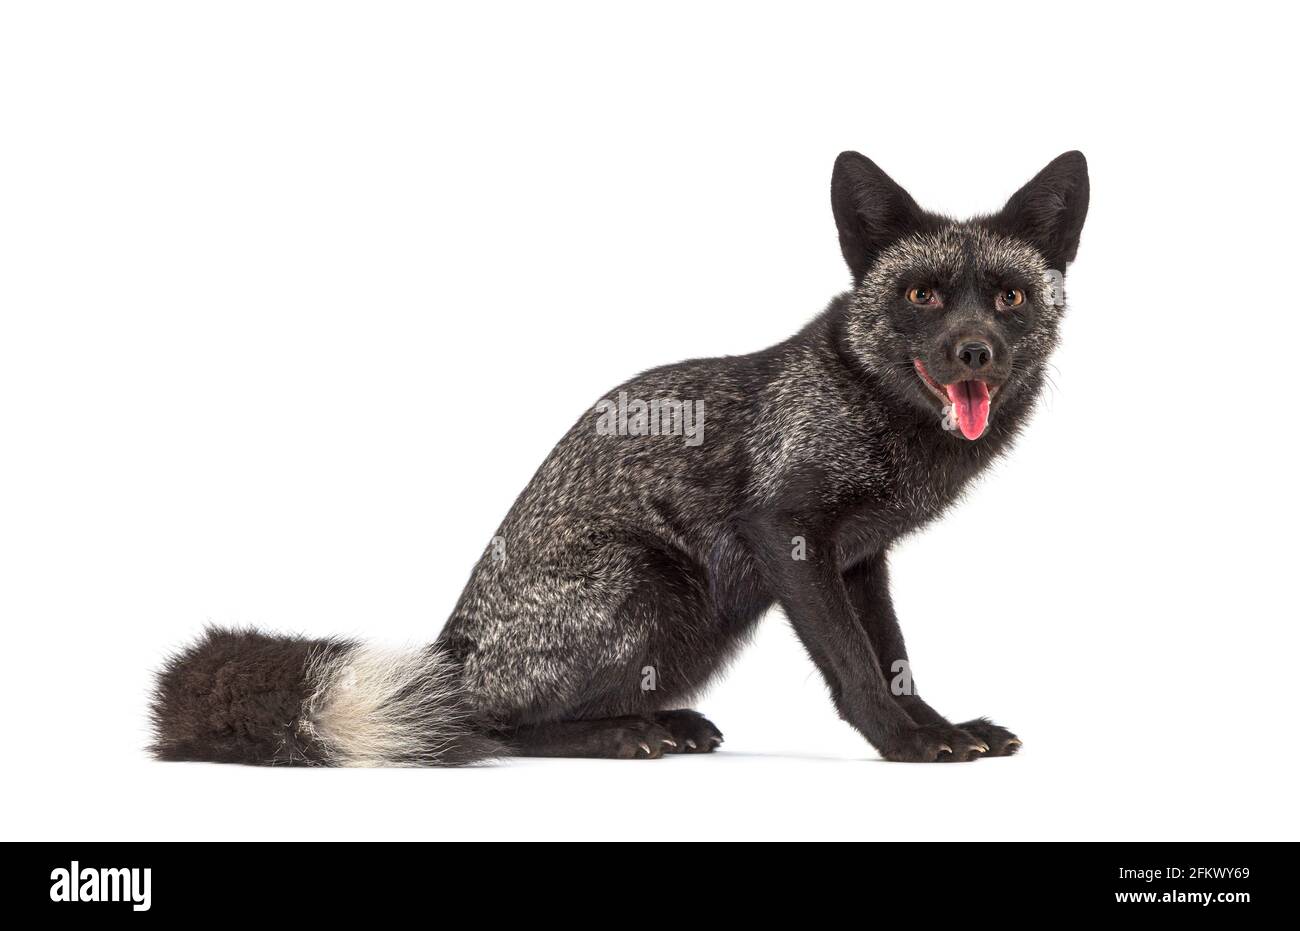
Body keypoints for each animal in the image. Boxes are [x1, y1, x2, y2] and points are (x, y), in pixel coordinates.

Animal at [151, 151, 1089, 765]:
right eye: (922, 294)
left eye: (1008, 297)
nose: (973, 352)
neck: (869, 400)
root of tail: (450, 650)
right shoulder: (787, 530)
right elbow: (856, 666)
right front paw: (903, 743)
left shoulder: (861, 558)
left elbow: (893, 657)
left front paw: (938, 724)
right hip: (649, 583)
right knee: (492, 731)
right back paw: (625, 733)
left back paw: (665, 722)